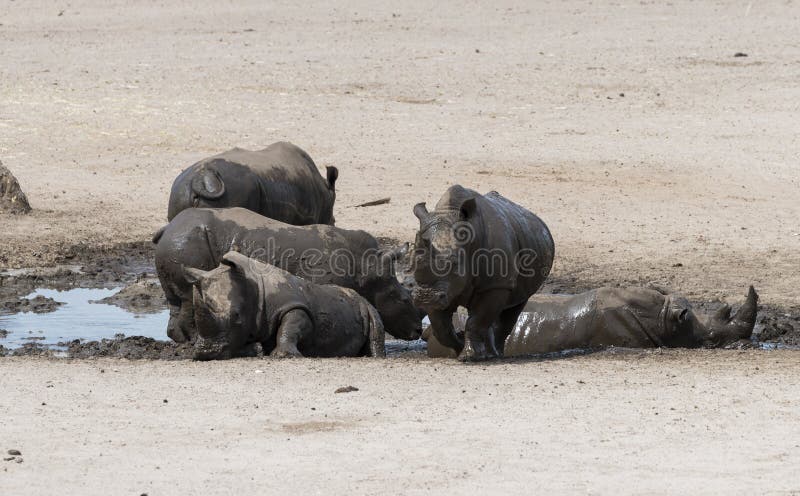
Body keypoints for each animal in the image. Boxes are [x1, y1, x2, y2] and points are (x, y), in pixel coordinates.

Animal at [153, 207, 421, 343]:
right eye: (404, 299)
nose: (418, 331)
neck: (368, 268)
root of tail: (168, 228)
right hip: (187, 242)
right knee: (189, 295)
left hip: (183, 241)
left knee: (178, 300)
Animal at [185, 252, 385, 360]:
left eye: (236, 316)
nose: (206, 353)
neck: (252, 285)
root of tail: (359, 297)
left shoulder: (295, 306)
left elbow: (291, 326)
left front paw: (282, 355)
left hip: (366, 305)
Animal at [411, 185, 555, 361]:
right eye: (413, 262)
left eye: (454, 263)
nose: (425, 297)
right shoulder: (440, 291)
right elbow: (441, 327)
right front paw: (459, 347)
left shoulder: (496, 284)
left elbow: (477, 321)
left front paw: (469, 357)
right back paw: (488, 353)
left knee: (513, 308)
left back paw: (495, 354)